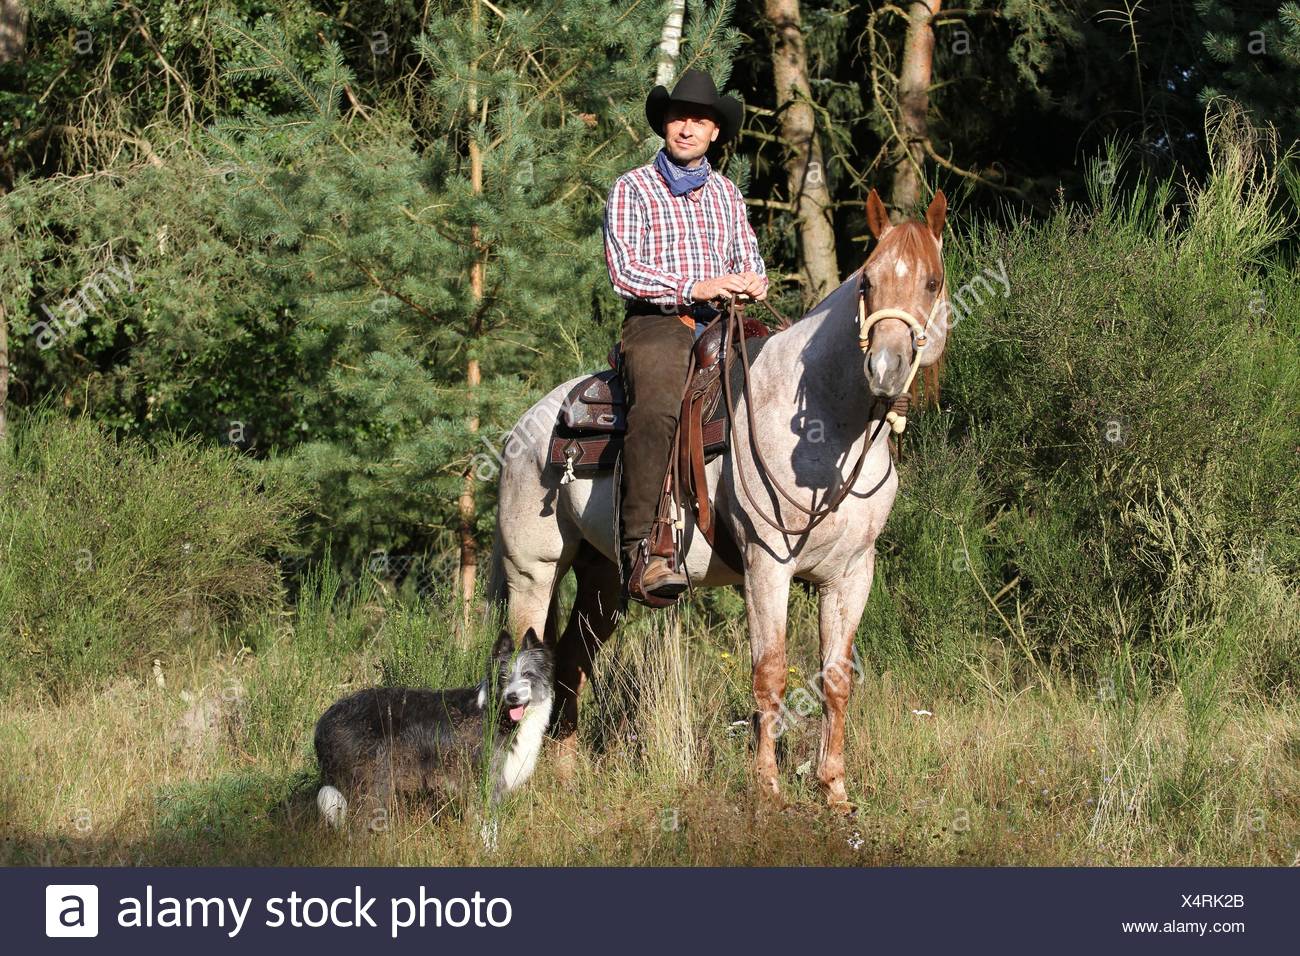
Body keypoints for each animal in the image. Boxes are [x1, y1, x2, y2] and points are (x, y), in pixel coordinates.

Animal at [488, 188, 951, 810]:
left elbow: (836, 677)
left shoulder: (853, 572)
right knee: (526, 663)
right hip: (532, 573)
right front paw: (769, 787)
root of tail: (524, 427)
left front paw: (833, 790)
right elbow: (770, 673)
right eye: (867, 282)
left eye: (931, 282)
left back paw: (562, 776)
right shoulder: (767, 563)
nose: (885, 367)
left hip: (604, 583)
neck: (829, 426)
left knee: (569, 664)